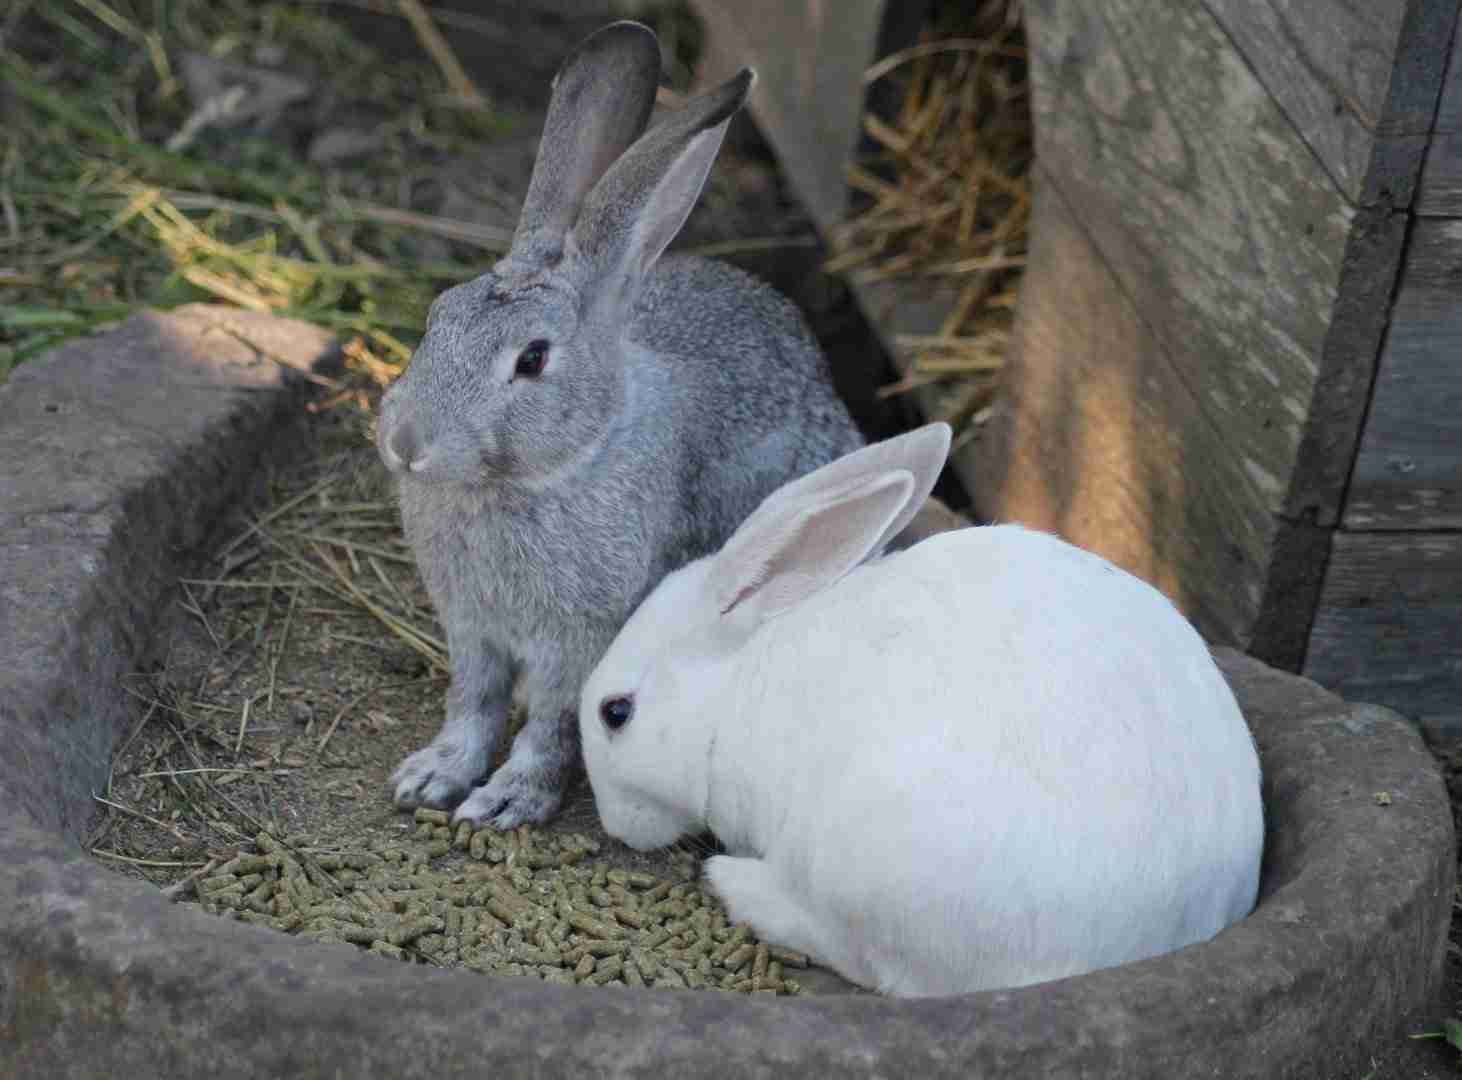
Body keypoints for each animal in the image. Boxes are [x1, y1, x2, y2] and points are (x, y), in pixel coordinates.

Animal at [375, 20, 865, 830]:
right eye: (435, 318)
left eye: (533, 358)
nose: (405, 443)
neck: (569, 457)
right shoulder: (472, 630)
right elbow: (471, 706)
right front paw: (432, 775)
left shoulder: (576, 640)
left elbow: (547, 724)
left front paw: (508, 800)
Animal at [579, 422, 1265, 997]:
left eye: (617, 712)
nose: (614, 827)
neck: (735, 688)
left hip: (864, 860)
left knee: (871, 963)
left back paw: (734, 883)